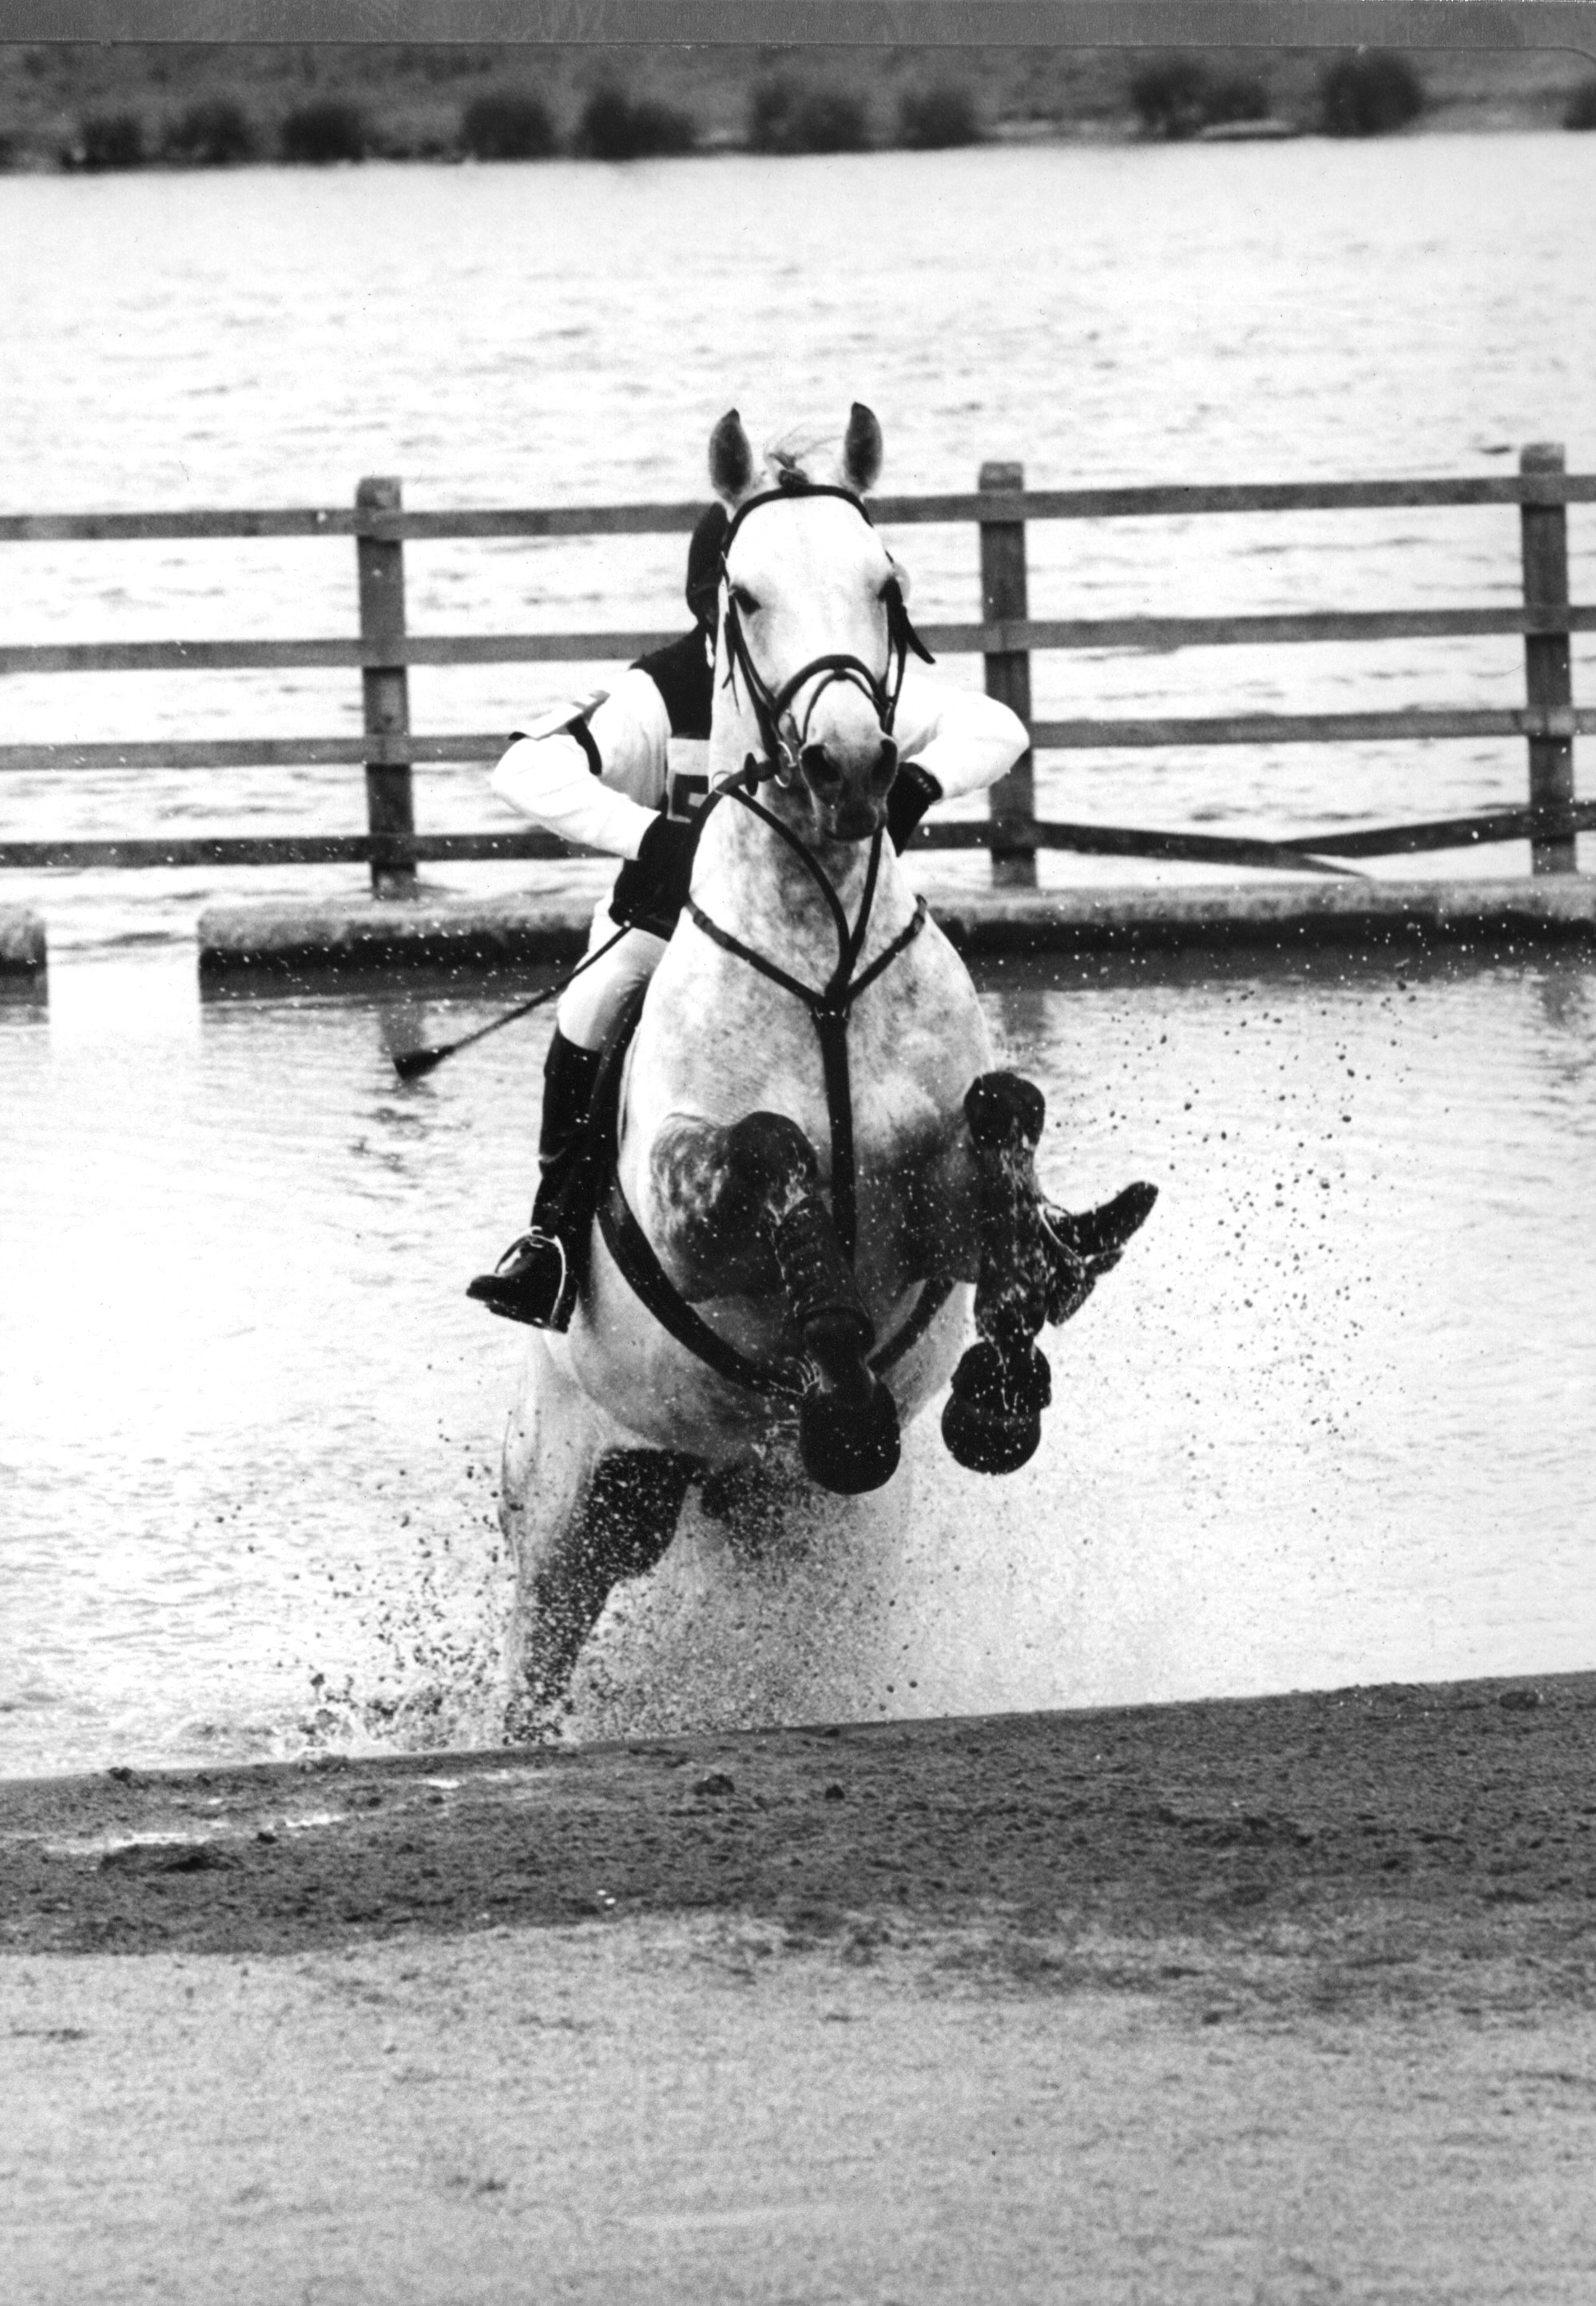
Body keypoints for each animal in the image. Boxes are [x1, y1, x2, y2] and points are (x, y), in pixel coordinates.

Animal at [498, 404, 1155, 1735]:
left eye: (885, 585)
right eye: (744, 595)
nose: (853, 767)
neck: (828, 960)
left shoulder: (940, 1204)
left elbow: (1002, 1124)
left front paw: (997, 1387)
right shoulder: (686, 1220)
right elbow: (763, 1151)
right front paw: (842, 1373)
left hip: (795, 1526)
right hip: (569, 1509)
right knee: (537, 1646)